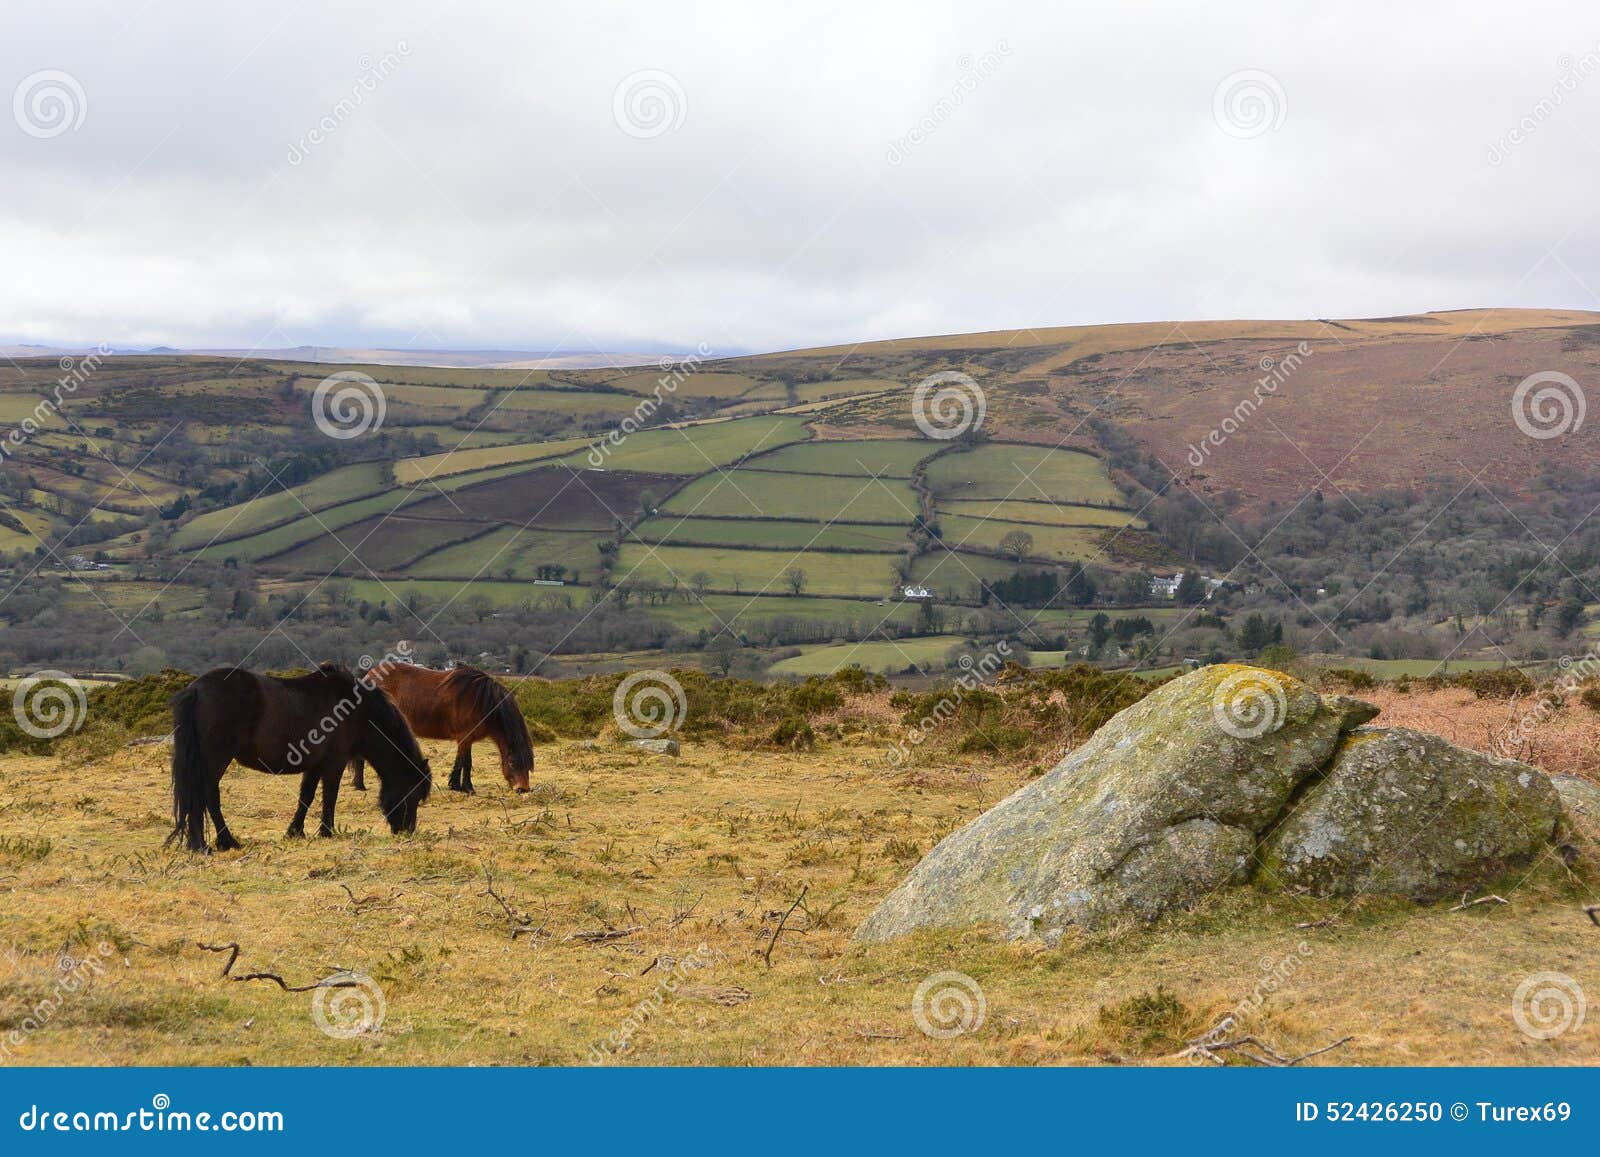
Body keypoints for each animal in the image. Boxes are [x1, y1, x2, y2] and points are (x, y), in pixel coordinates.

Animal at [166, 664, 432, 853]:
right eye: (413, 794)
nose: (406, 831)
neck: (357, 709)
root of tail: (196, 690)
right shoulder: (334, 763)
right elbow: (330, 796)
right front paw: (326, 831)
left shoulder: (314, 765)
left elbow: (306, 796)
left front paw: (295, 831)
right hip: (216, 758)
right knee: (207, 796)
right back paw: (214, 843)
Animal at [348, 663, 533, 794]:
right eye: (512, 762)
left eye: (529, 764)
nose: (523, 789)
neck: (482, 702)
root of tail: (369, 676)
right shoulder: (465, 737)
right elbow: (466, 762)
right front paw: (467, 788)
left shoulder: (465, 739)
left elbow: (461, 761)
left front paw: (456, 785)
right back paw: (360, 785)